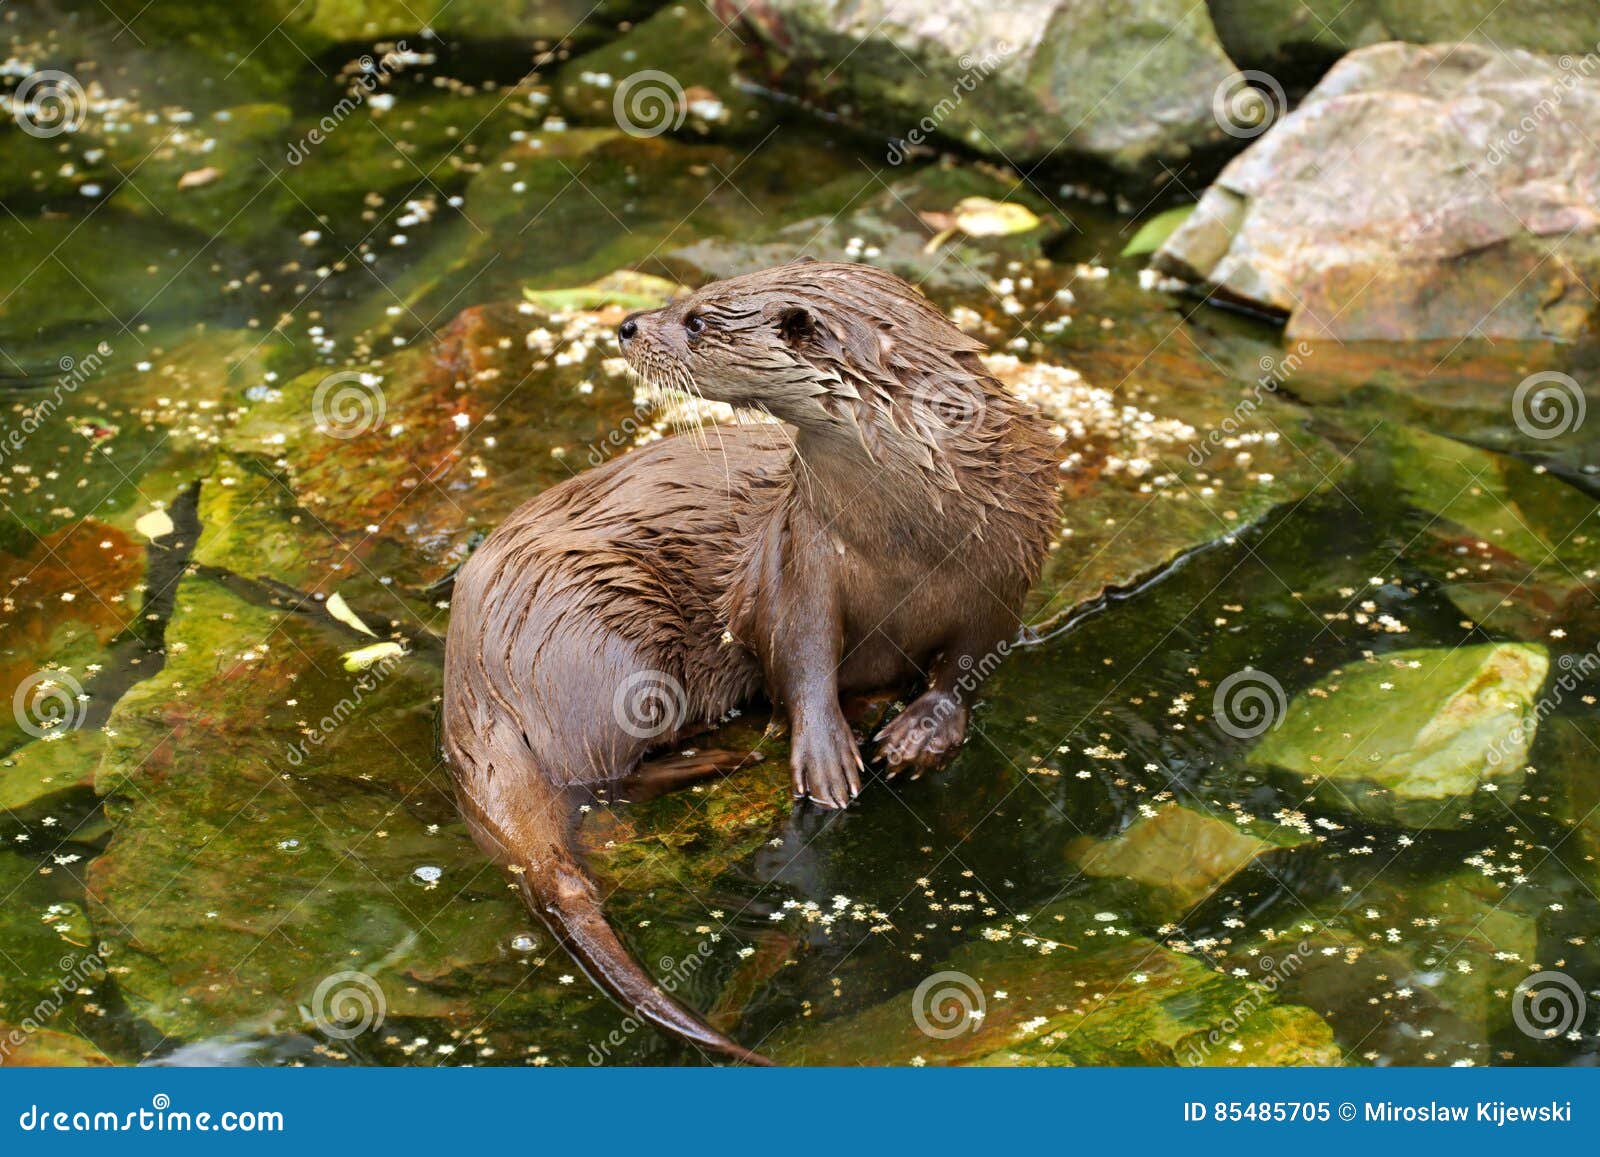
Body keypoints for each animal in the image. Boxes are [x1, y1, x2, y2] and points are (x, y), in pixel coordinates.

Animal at [441, 260, 1059, 1065]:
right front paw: (826, 755)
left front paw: (921, 733)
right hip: (603, 637)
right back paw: (715, 755)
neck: (910, 535)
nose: (628, 325)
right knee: (597, 776)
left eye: (698, 319)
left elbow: (970, 662)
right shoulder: (800, 557)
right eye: (687, 299)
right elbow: (797, 655)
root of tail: (474, 668)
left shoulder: (1008, 559)